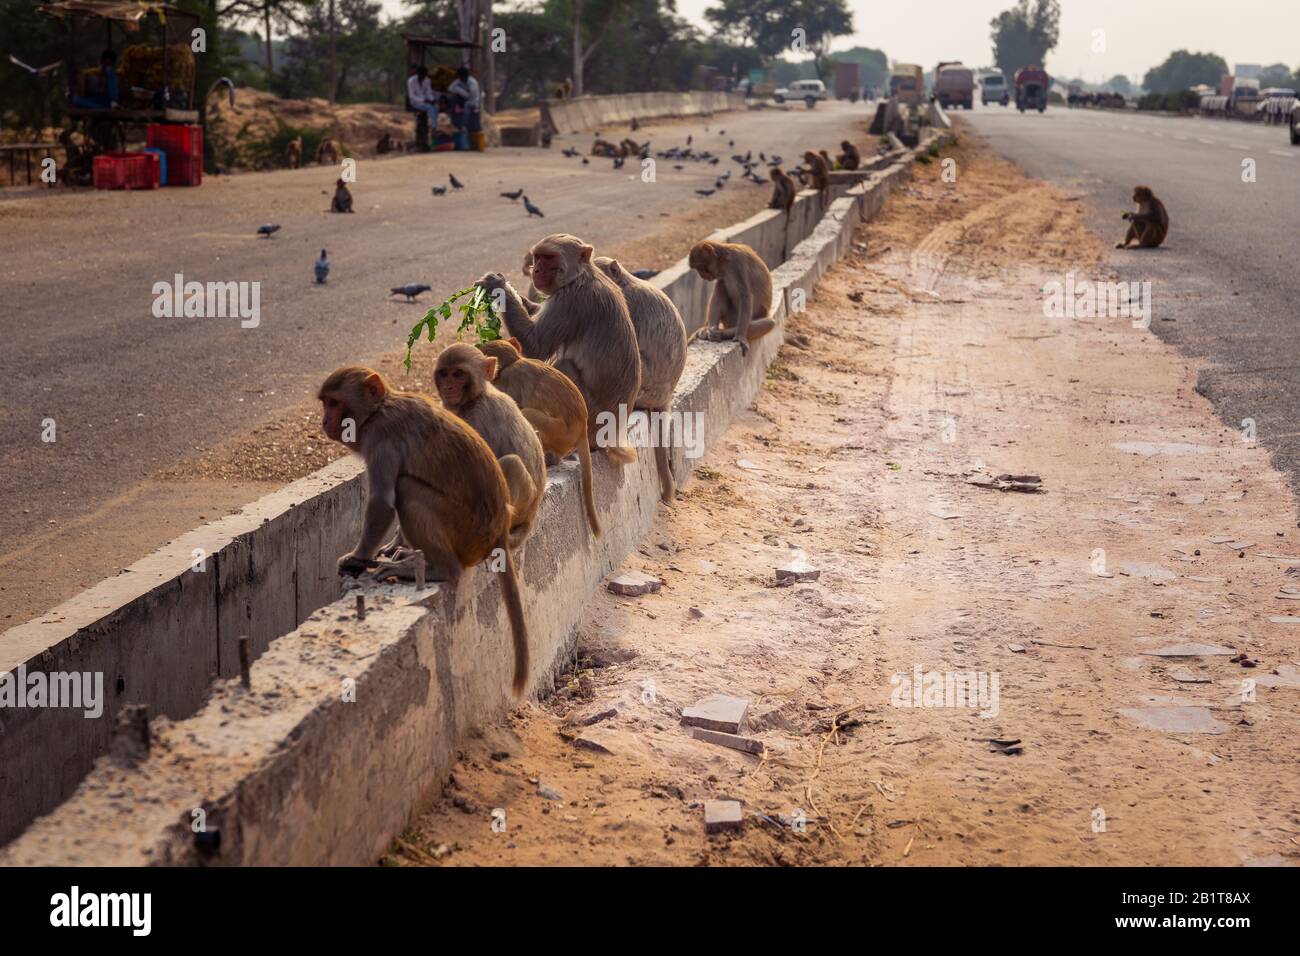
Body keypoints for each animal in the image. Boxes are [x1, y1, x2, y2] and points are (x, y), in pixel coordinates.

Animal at [317, 366, 529, 694]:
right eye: (325, 402)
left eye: (334, 402)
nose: (324, 421)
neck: (378, 410)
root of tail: (498, 533)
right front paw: (394, 547)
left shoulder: (382, 438)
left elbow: (383, 503)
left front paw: (357, 558)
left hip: (465, 531)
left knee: (407, 489)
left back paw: (441, 570)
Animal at [435, 344, 546, 547]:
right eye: (444, 373)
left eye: (458, 374)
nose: (448, 387)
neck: (474, 398)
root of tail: (533, 514)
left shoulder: (481, 416)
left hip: (523, 504)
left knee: (510, 463)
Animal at [482, 235, 641, 465]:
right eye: (538, 257)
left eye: (549, 258)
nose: (536, 270)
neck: (581, 275)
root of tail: (608, 438)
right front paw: (519, 296)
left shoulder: (569, 300)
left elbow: (535, 345)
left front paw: (497, 286)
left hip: (588, 421)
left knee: (563, 364)